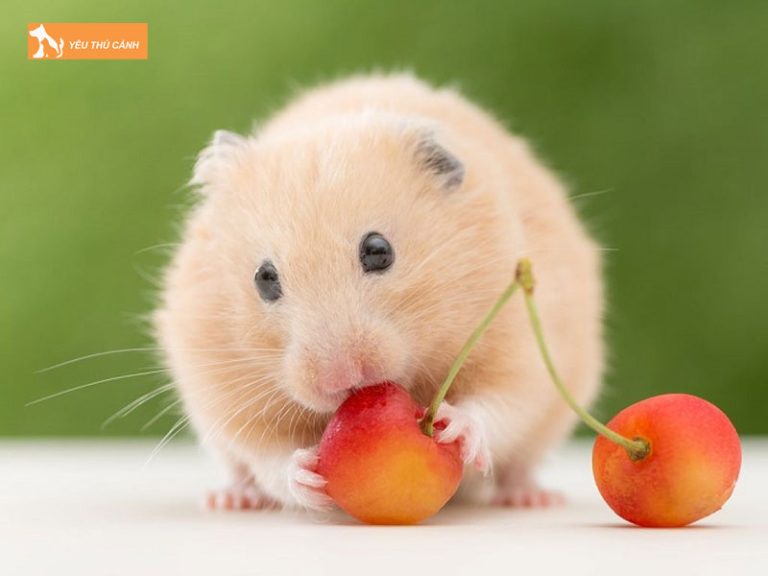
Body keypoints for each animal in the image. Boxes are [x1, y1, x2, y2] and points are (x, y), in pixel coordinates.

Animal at [154, 73, 603, 511]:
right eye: (264, 279)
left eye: (378, 251)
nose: (340, 379)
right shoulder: (225, 389)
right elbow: (267, 455)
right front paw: (307, 474)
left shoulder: (519, 345)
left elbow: (501, 402)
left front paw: (452, 426)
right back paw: (231, 499)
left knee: (520, 462)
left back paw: (532, 498)